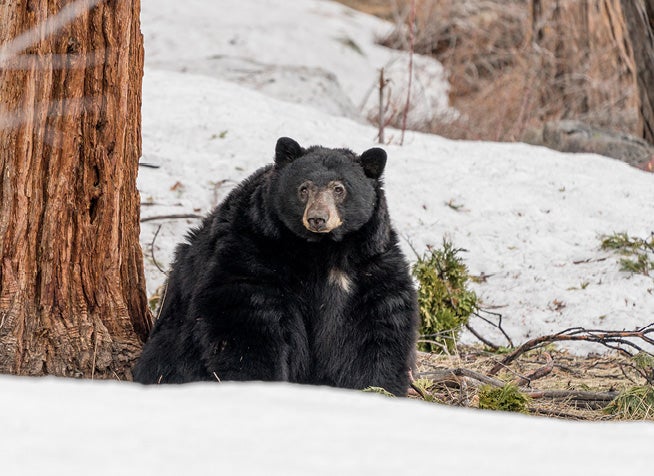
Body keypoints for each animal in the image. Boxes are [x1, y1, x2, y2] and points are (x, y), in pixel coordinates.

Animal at [133, 137, 419, 396]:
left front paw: (378, 388)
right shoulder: (253, 247)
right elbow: (246, 316)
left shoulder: (369, 265)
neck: (321, 251)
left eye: (339, 189)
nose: (317, 218)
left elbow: (377, 326)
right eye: (303, 188)